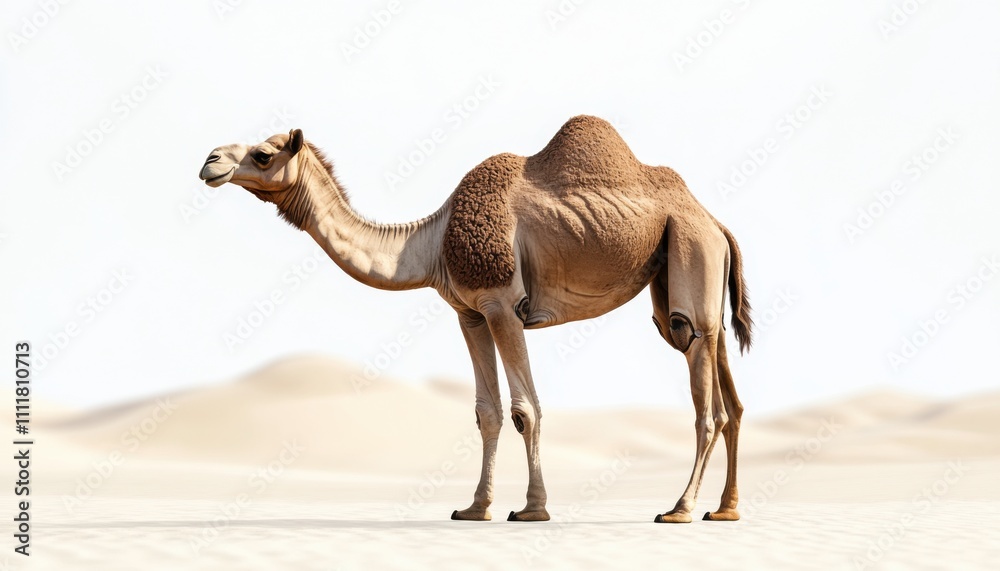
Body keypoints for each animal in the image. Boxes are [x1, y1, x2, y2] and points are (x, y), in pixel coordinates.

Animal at [198, 115, 753, 523]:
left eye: (263, 154)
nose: (209, 161)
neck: (431, 243)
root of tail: (717, 222)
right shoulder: (469, 314)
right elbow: (487, 412)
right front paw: (474, 508)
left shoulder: (503, 302)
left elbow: (525, 408)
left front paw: (531, 509)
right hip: (687, 276)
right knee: (727, 385)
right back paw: (724, 510)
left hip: (690, 253)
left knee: (706, 397)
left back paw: (679, 509)